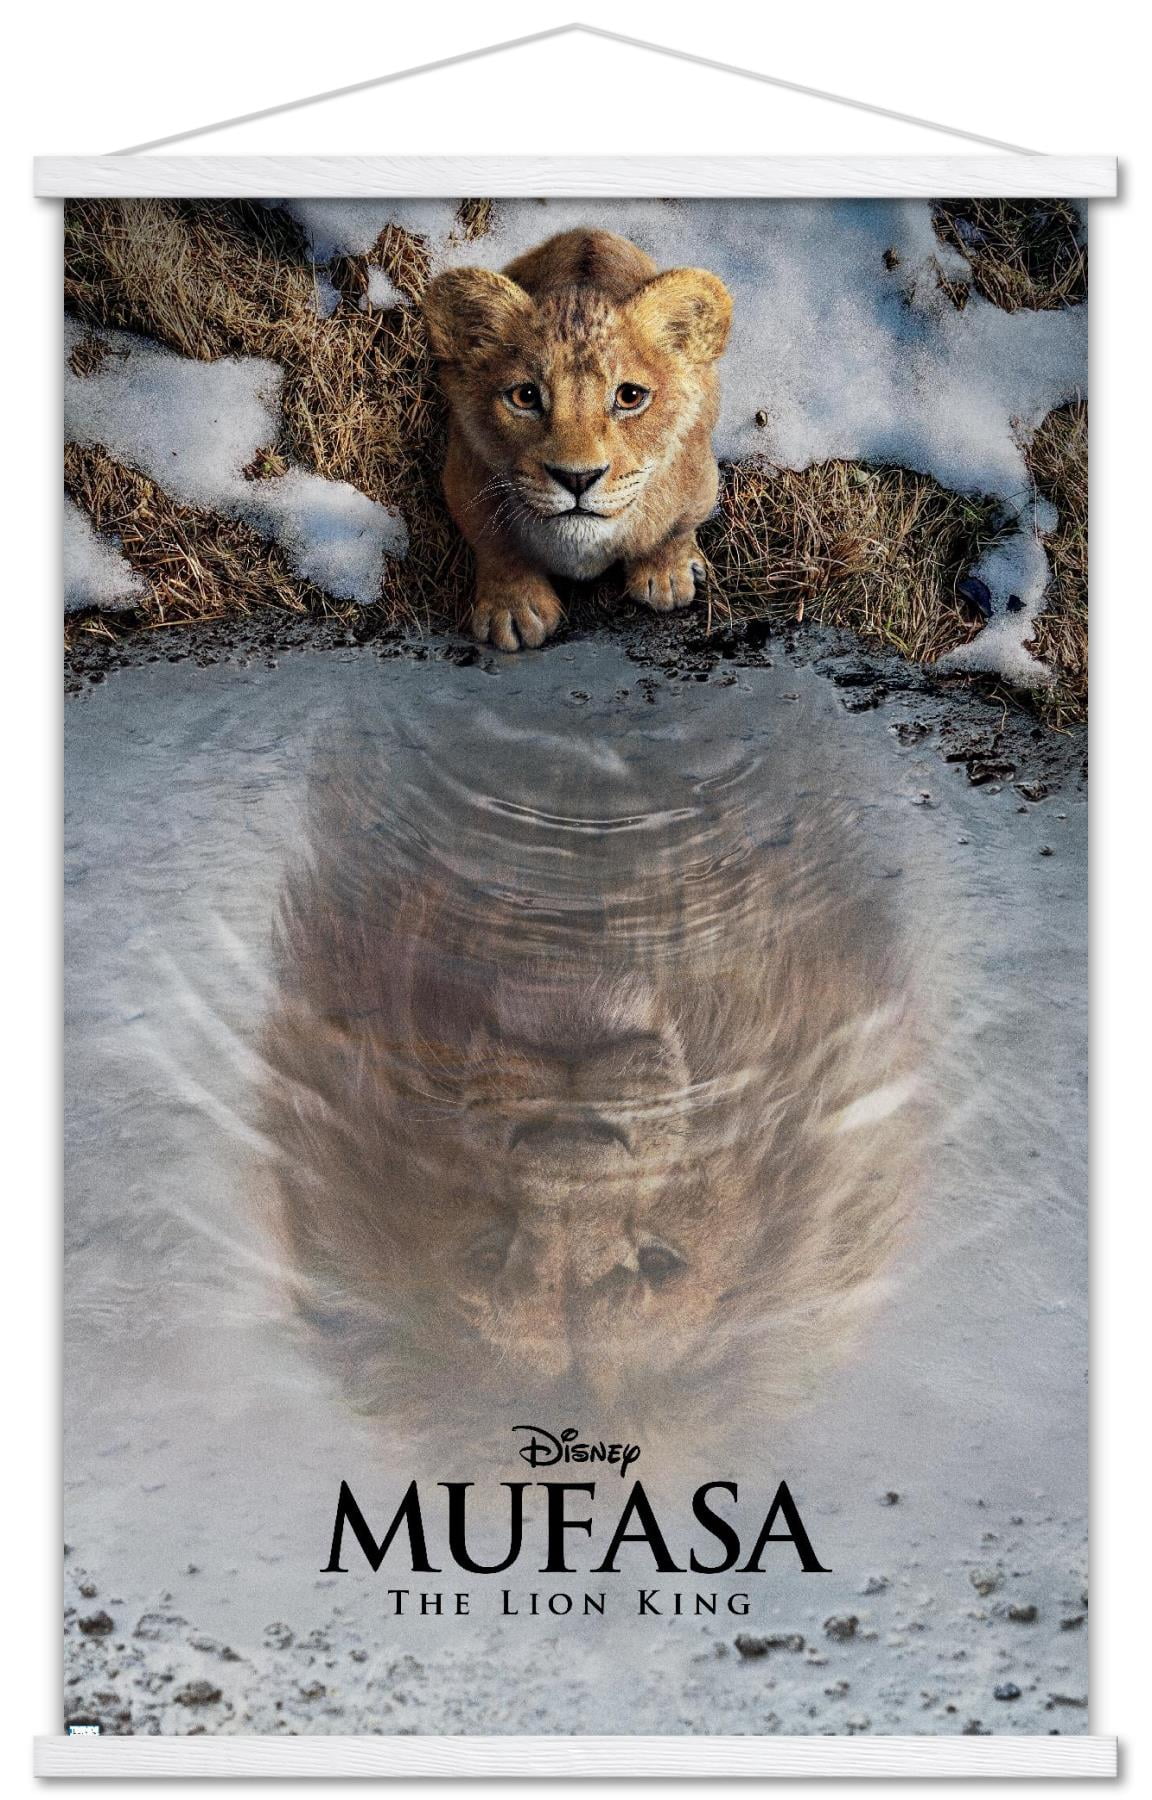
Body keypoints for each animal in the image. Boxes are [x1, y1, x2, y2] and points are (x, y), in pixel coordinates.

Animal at [422, 229, 733, 652]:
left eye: (630, 396)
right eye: (525, 397)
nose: (577, 478)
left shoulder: (699, 477)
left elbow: (674, 529)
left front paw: (667, 576)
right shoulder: (464, 476)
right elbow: (495, 545)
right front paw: (514, 609)